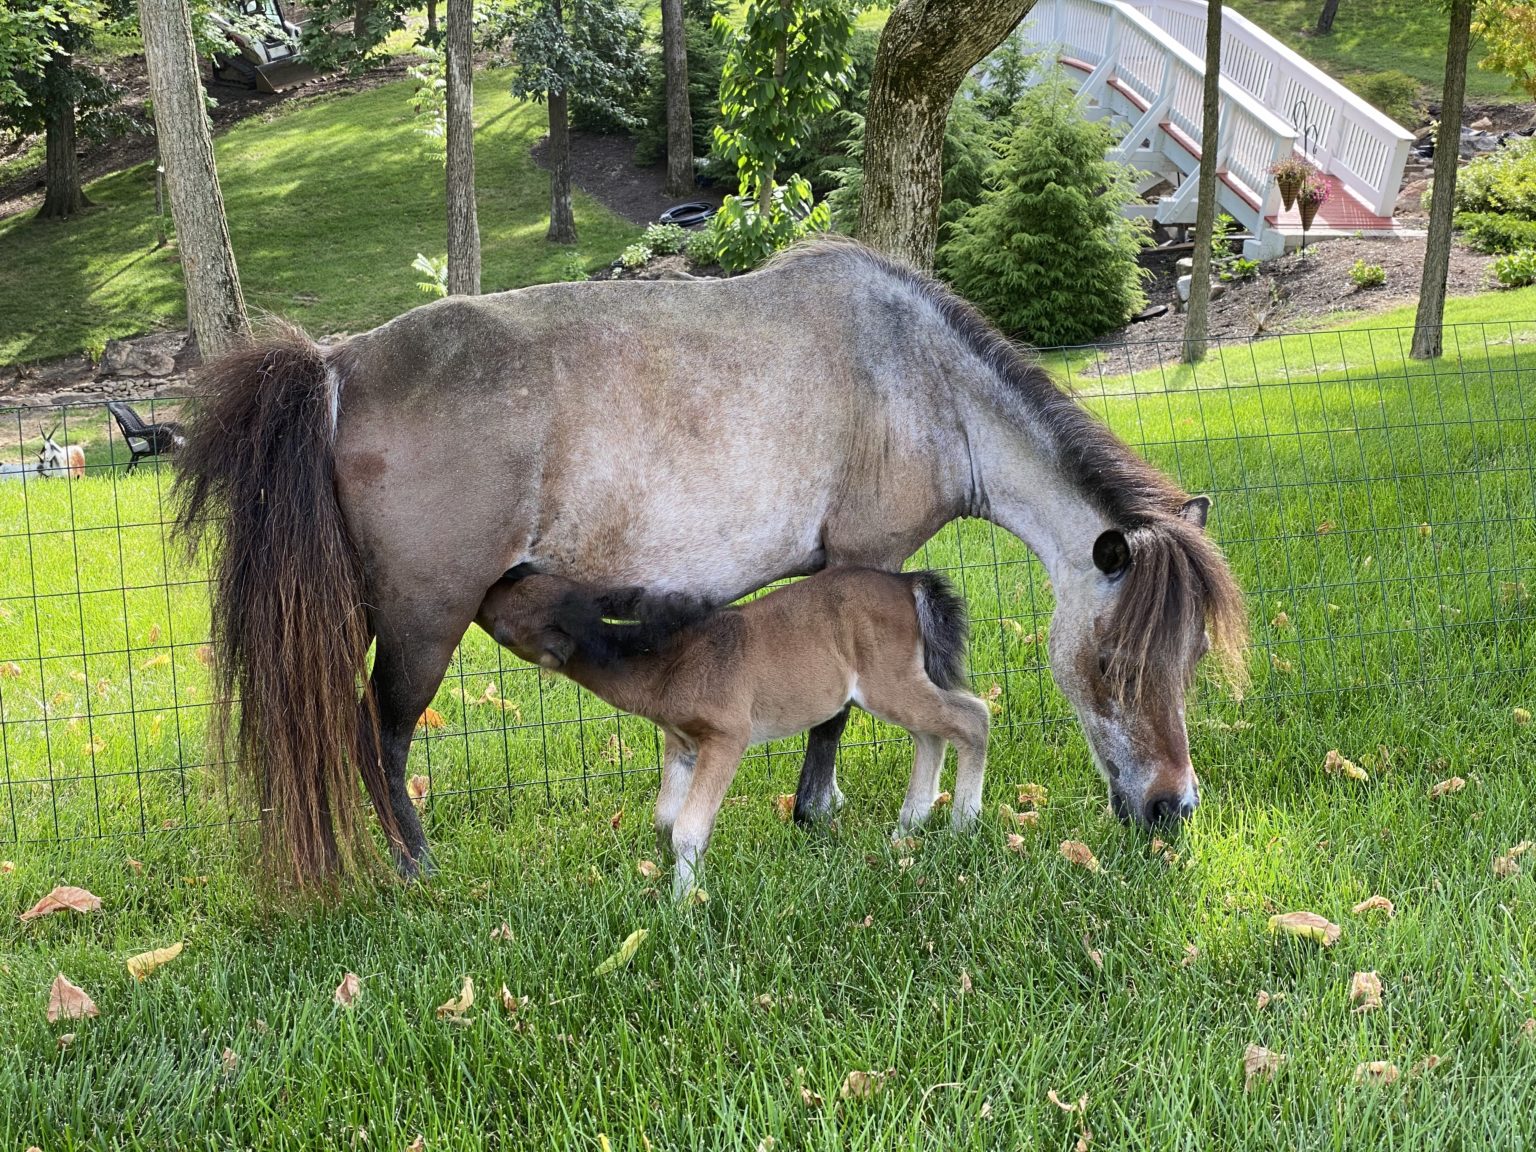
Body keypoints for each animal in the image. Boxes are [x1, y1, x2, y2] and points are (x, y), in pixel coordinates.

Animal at [476, 566, 990, 898]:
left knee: (972, 719)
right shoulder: (681, 744)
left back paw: (963, 824)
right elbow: (666, 820)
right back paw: (905, 831)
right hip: (892, 690)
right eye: (519, 581)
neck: (667, 661)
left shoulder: (726, 737)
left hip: (888, 684)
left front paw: (684, 905)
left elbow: (687, 829)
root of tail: (908, 582)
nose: (484, 592)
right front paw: (667, 879)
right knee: (931, 735)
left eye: (503, 631)